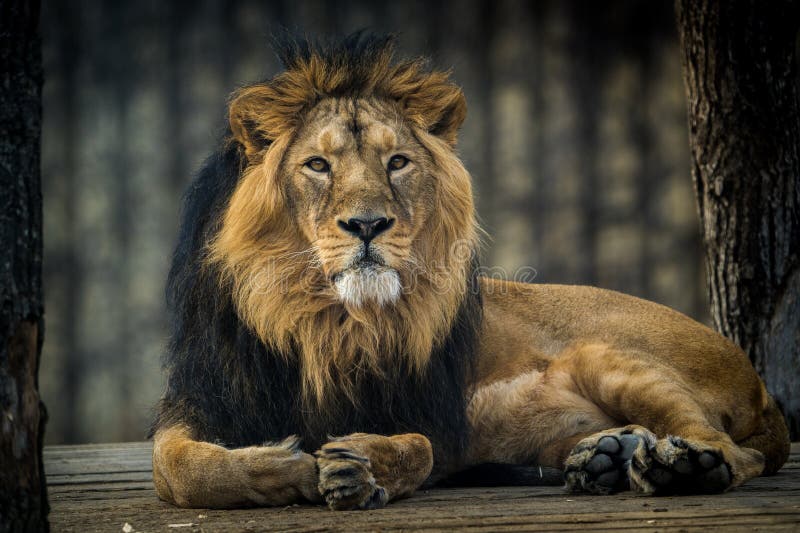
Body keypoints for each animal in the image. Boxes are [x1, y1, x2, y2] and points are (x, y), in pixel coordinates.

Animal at [151, 33, 790, 511]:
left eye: (398, 162)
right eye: (317, 165)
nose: (367, 224)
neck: (326, 321)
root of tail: (764, 391)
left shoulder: (431, 413)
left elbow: (421, 448)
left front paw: (362, 467)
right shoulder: (201, 399)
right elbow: (174, 468)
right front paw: (281, 464)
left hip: (611, 354)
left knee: (739, 452)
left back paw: (681, 468)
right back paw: (610, 456)